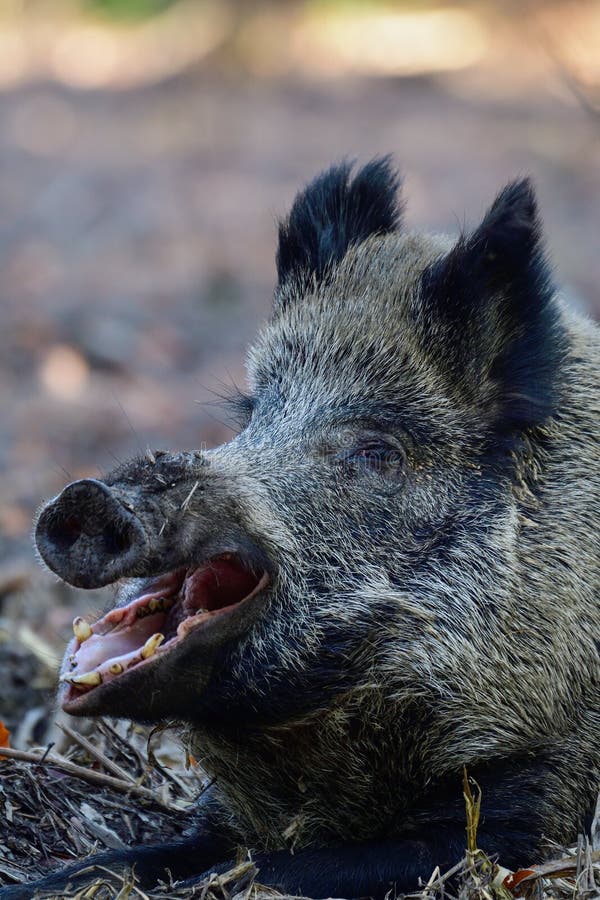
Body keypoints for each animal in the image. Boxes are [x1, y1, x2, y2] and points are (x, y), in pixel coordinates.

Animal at [1, 158, 598, 899]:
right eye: (253, 412)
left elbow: (287, 868)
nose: (86, 498)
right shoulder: (222, 813)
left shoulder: (531, 797)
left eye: (377, 452)